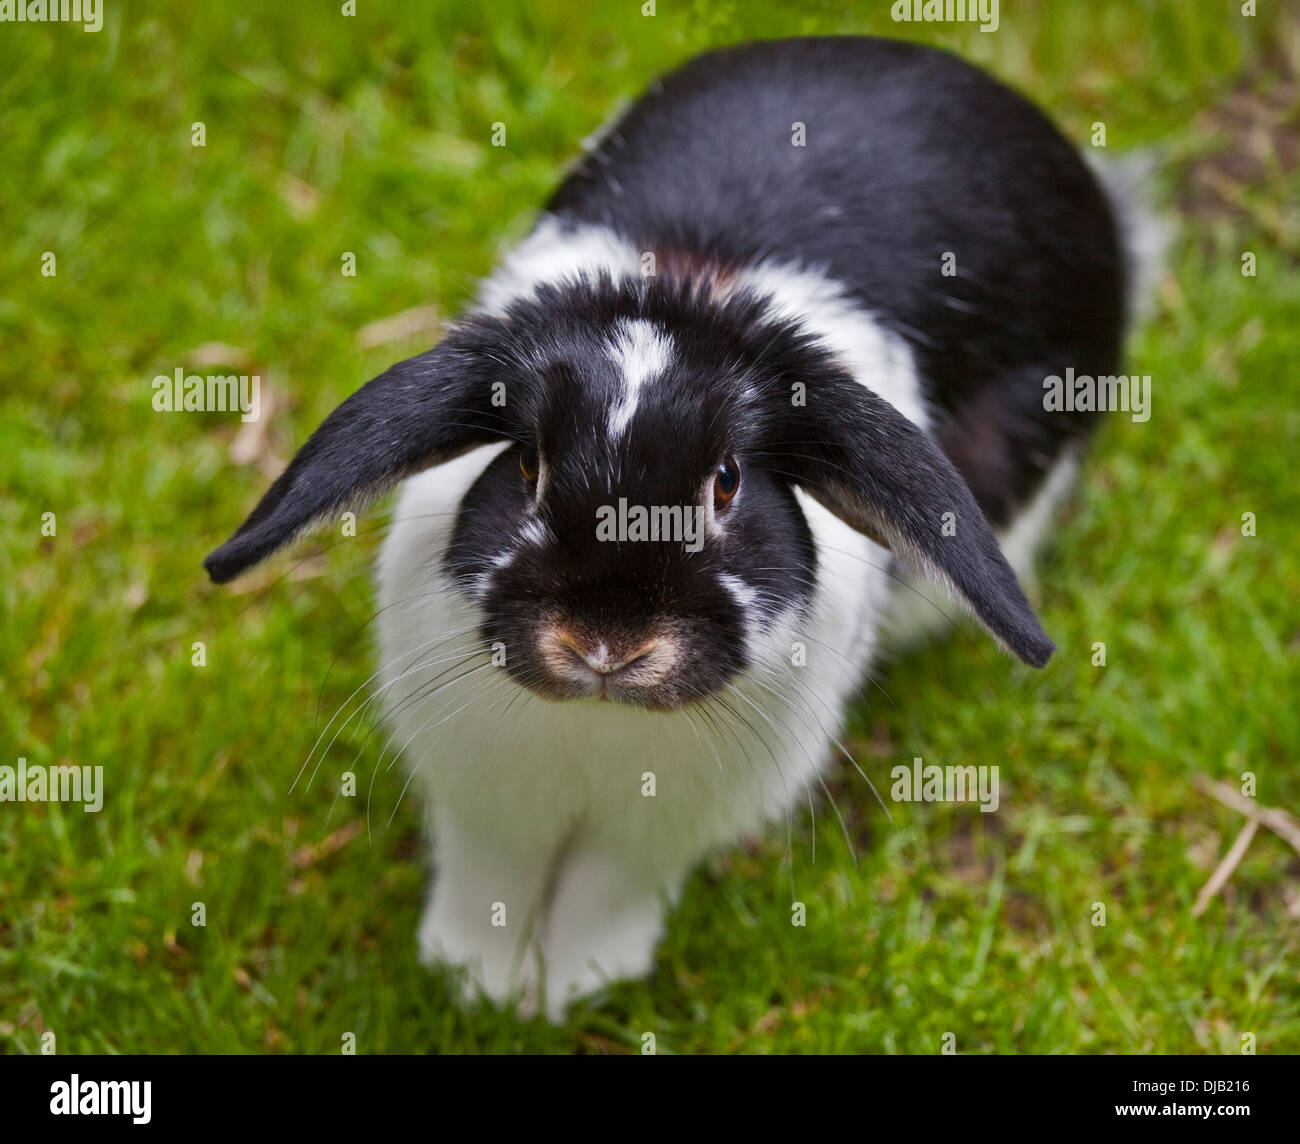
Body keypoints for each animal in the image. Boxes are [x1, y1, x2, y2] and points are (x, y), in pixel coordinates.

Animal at [205, 36, 1160, 1020]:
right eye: (527, 467)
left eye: (727, 483)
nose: (606, 643)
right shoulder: (489, 804)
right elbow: (492, 875)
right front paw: (477, 980)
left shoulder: (654, 832)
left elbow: (608, 887)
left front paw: (577, 983)